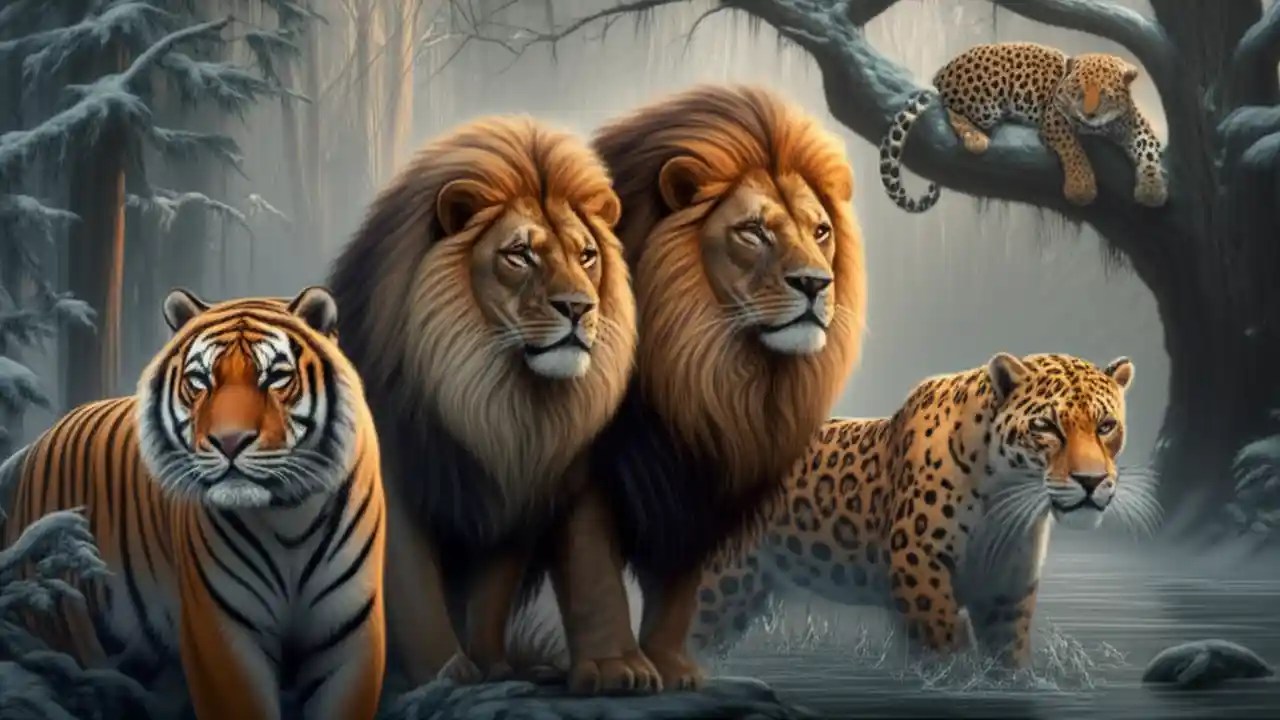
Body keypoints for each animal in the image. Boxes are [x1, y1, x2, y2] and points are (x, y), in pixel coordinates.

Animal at [0, 287, 386, 720]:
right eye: (201, 380)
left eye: (276, 377)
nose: (230, 441)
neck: (289, 516)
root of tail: (42, 439)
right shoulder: (222, 633)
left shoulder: (347, 637)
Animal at [327, 116, 658, 694]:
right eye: (519, 254)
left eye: (586, 255)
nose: (579, 307)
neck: (499, 399)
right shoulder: (397, 473)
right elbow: (410, 582)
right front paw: (442, 673)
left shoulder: (525, 486)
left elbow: (501, 591)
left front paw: (499, 669)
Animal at [587, 84, 867, 690]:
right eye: (753, 230)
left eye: (821, 231)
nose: (816, 283)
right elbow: (593, 573)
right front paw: (616, 668)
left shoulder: (708, 474)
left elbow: (679, 589)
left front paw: (672, 668)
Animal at [686, 352, 1159, 669]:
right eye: (1045, 427)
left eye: (1106, 426)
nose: (1090, 481)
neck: (1005, 499)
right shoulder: (917, 564)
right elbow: (946, 642)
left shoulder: (1007, 587)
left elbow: (1008, 655)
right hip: (718, 585)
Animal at [878, 41, 1168, 212]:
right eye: (1078, 92)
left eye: (1105, 94)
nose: (1088, 114)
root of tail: (941, 72)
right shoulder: (1055, 116)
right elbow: (1073, 149)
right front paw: (1081, 189)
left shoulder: (1135, 125)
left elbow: (1149, 150)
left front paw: (1152, 190)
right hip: (986, 103)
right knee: (951, 108)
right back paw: (975, 138)